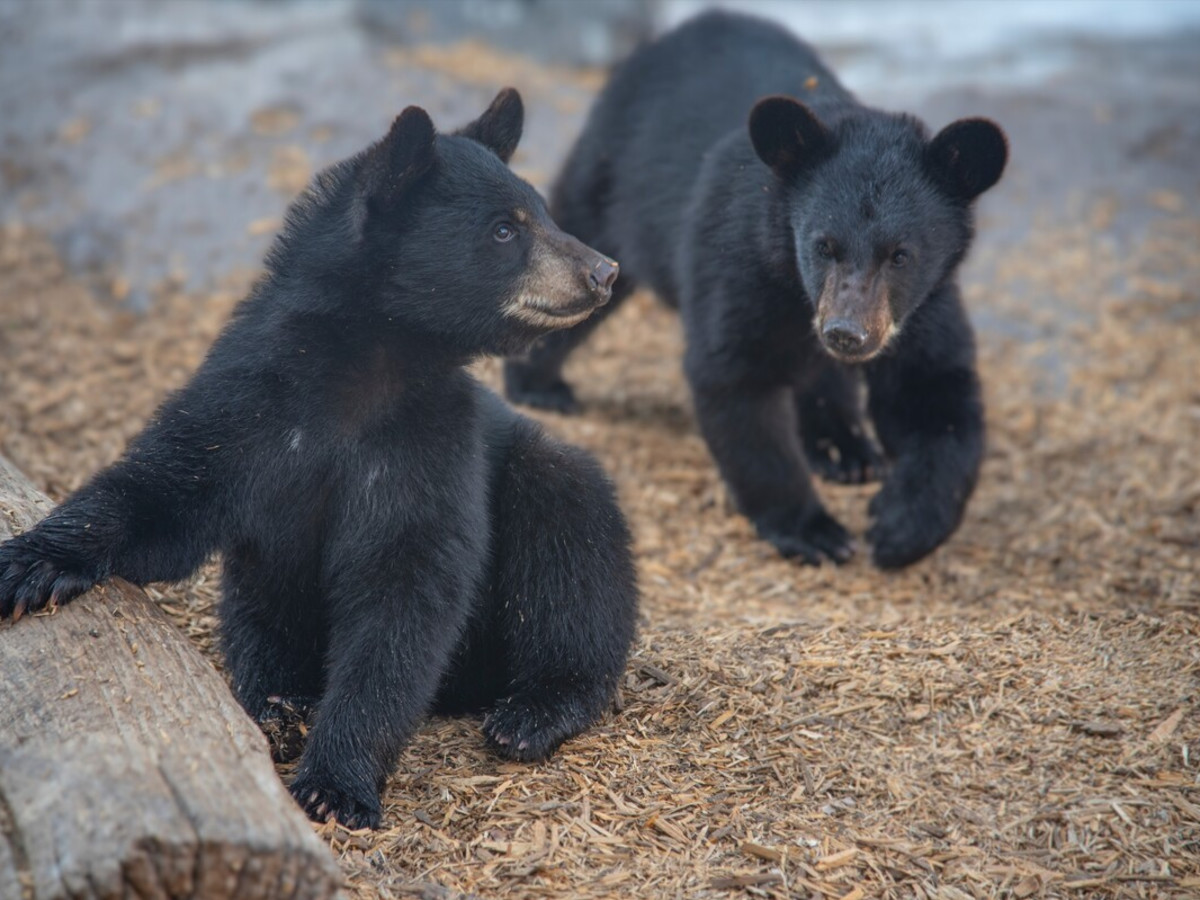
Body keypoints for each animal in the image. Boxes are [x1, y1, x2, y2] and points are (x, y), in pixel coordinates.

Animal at [0, 89, 639, 830]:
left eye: (543, 212)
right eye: (507, 229)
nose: (604, 270)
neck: (364, 364)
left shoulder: (432, 438)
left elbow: (406, 584)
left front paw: (336, 780)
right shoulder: (250, 401)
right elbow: (163, 492)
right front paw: (29, 563)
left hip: (541, 478)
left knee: (573, 553)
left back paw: (533, 710)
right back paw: (280, 707)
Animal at [503, 10, 1006, 569]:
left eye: (901, 254)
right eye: (823, 245)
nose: (847, 333)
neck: (797, 291)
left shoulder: (924, 302)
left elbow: (934, 390)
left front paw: (900, 526)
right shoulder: (737, 260)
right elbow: (735, 380)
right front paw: (814, 531)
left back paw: (845, 450)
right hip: (609, 182)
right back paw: (537, 384)